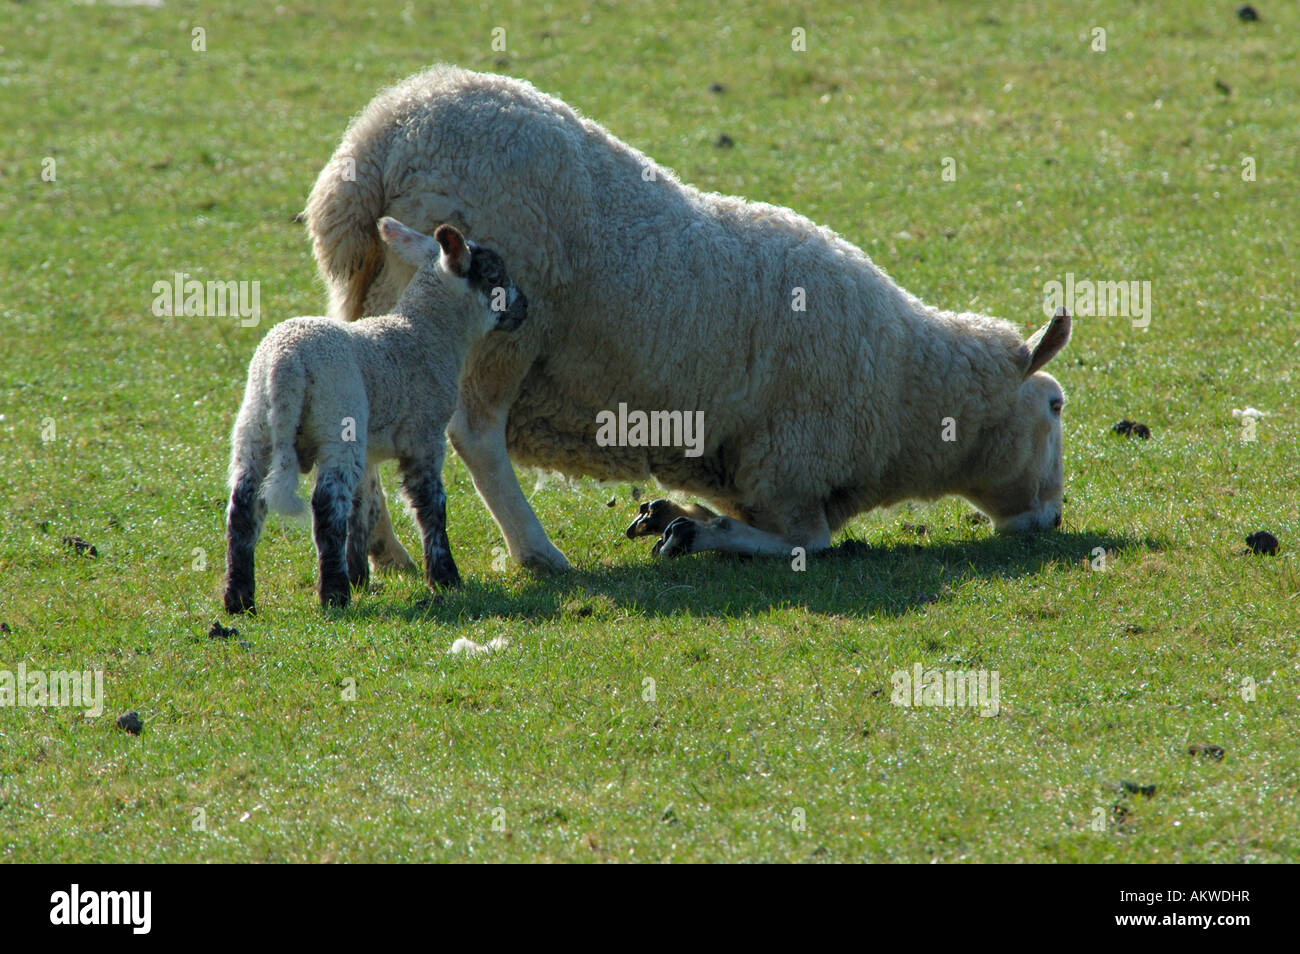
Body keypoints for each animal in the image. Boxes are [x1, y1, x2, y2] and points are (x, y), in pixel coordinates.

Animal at [222, 217, 527, 613]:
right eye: (493, 275)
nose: (525, 306)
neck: (425, 334)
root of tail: (285, 361)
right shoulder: (425, 435)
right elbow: (431, 504)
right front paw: (445, 577)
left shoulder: (369, 452)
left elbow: (363, 508)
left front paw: (359, 574)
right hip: (339, 418)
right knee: (327, 505)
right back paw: (334, 594)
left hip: (255, 424)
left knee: (244, 505)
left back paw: (239, 598)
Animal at [302, 65, 1070, 568]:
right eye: (1056, 405)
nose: (1052, 518)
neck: (907, 389)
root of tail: (377, 141)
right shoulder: (787, 465)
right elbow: (808, 541)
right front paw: (698, 534)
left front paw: (675, 517)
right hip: (497, 323)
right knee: (475, 432)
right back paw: (537, 551)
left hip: (380, 302)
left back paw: (382, 552)